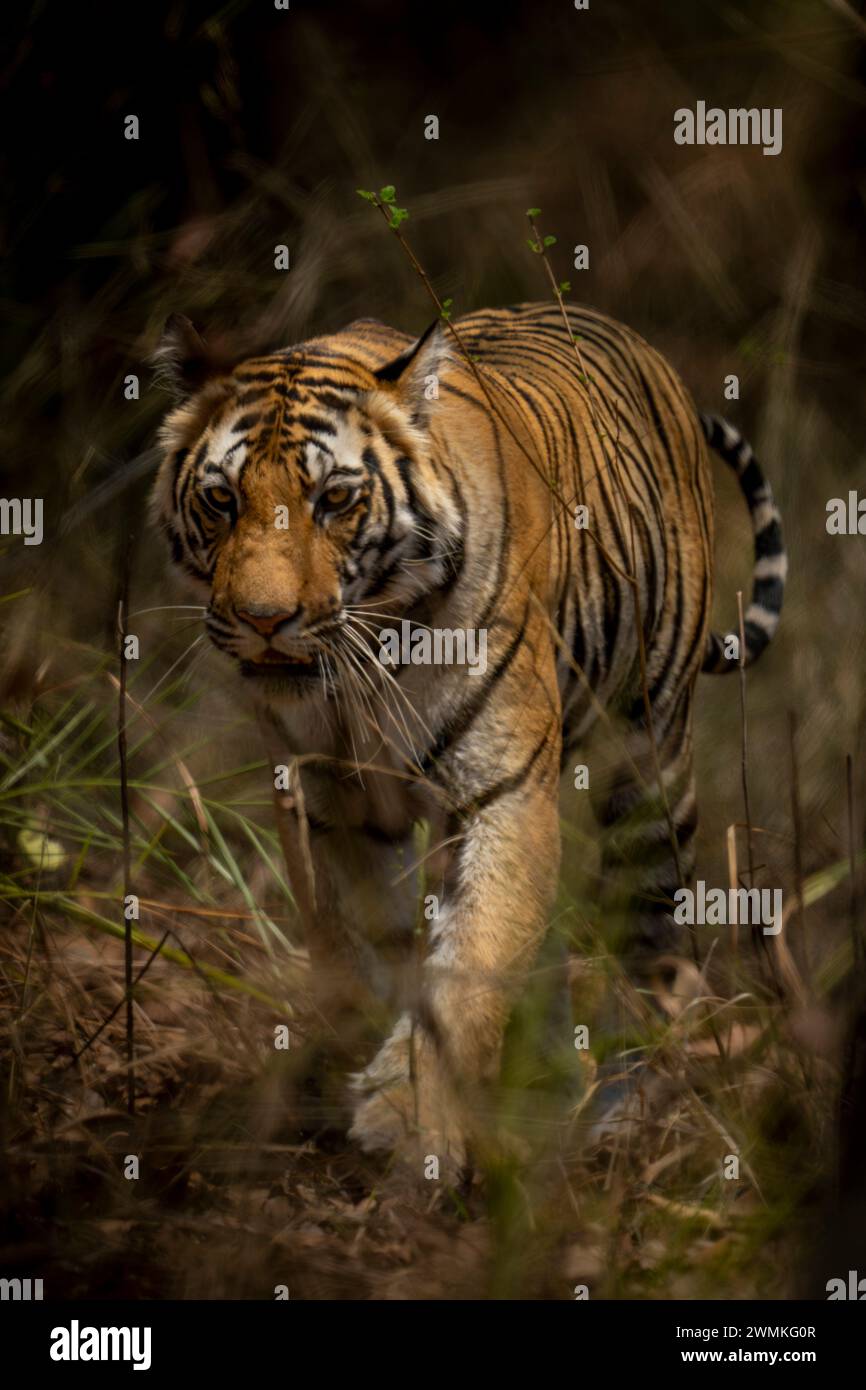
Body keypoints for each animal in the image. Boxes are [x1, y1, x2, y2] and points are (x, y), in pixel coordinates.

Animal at [151, 301, 786, 1169]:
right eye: (221, 500)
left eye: (335, 498)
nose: (264, 619)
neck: (367, 659)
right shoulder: (330, 802)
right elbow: (370, 949)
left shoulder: (503, 790)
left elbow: (472, 956)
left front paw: (407, 1118)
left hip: (650, 768)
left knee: (653, 942)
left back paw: (623, 1103)